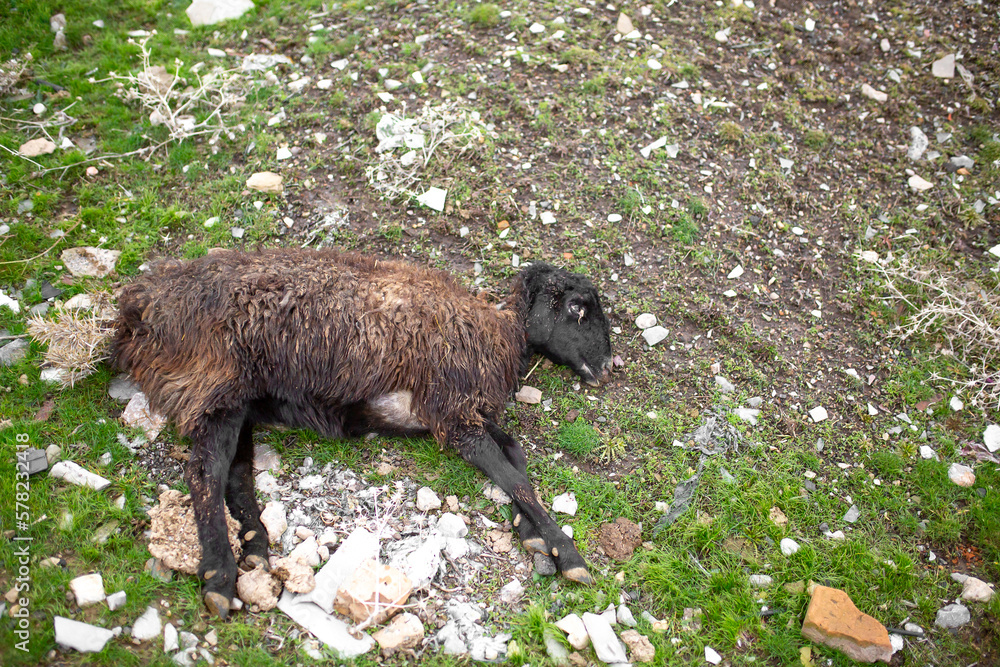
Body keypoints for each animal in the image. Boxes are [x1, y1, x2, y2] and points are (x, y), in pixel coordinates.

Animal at [111, 247, 614, 618]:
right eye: (577, 307)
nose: (608, 366)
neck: (498, 332)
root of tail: (140, 306)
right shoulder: (453, 415)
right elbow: (512, 477)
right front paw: (568, 555)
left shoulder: (455, 414)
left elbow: (516, 459)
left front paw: (530, 533)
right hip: (214, 384)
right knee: (204, 473)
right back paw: (219, 578)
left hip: (239, 403)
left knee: (234, 473)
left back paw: (254, 548)